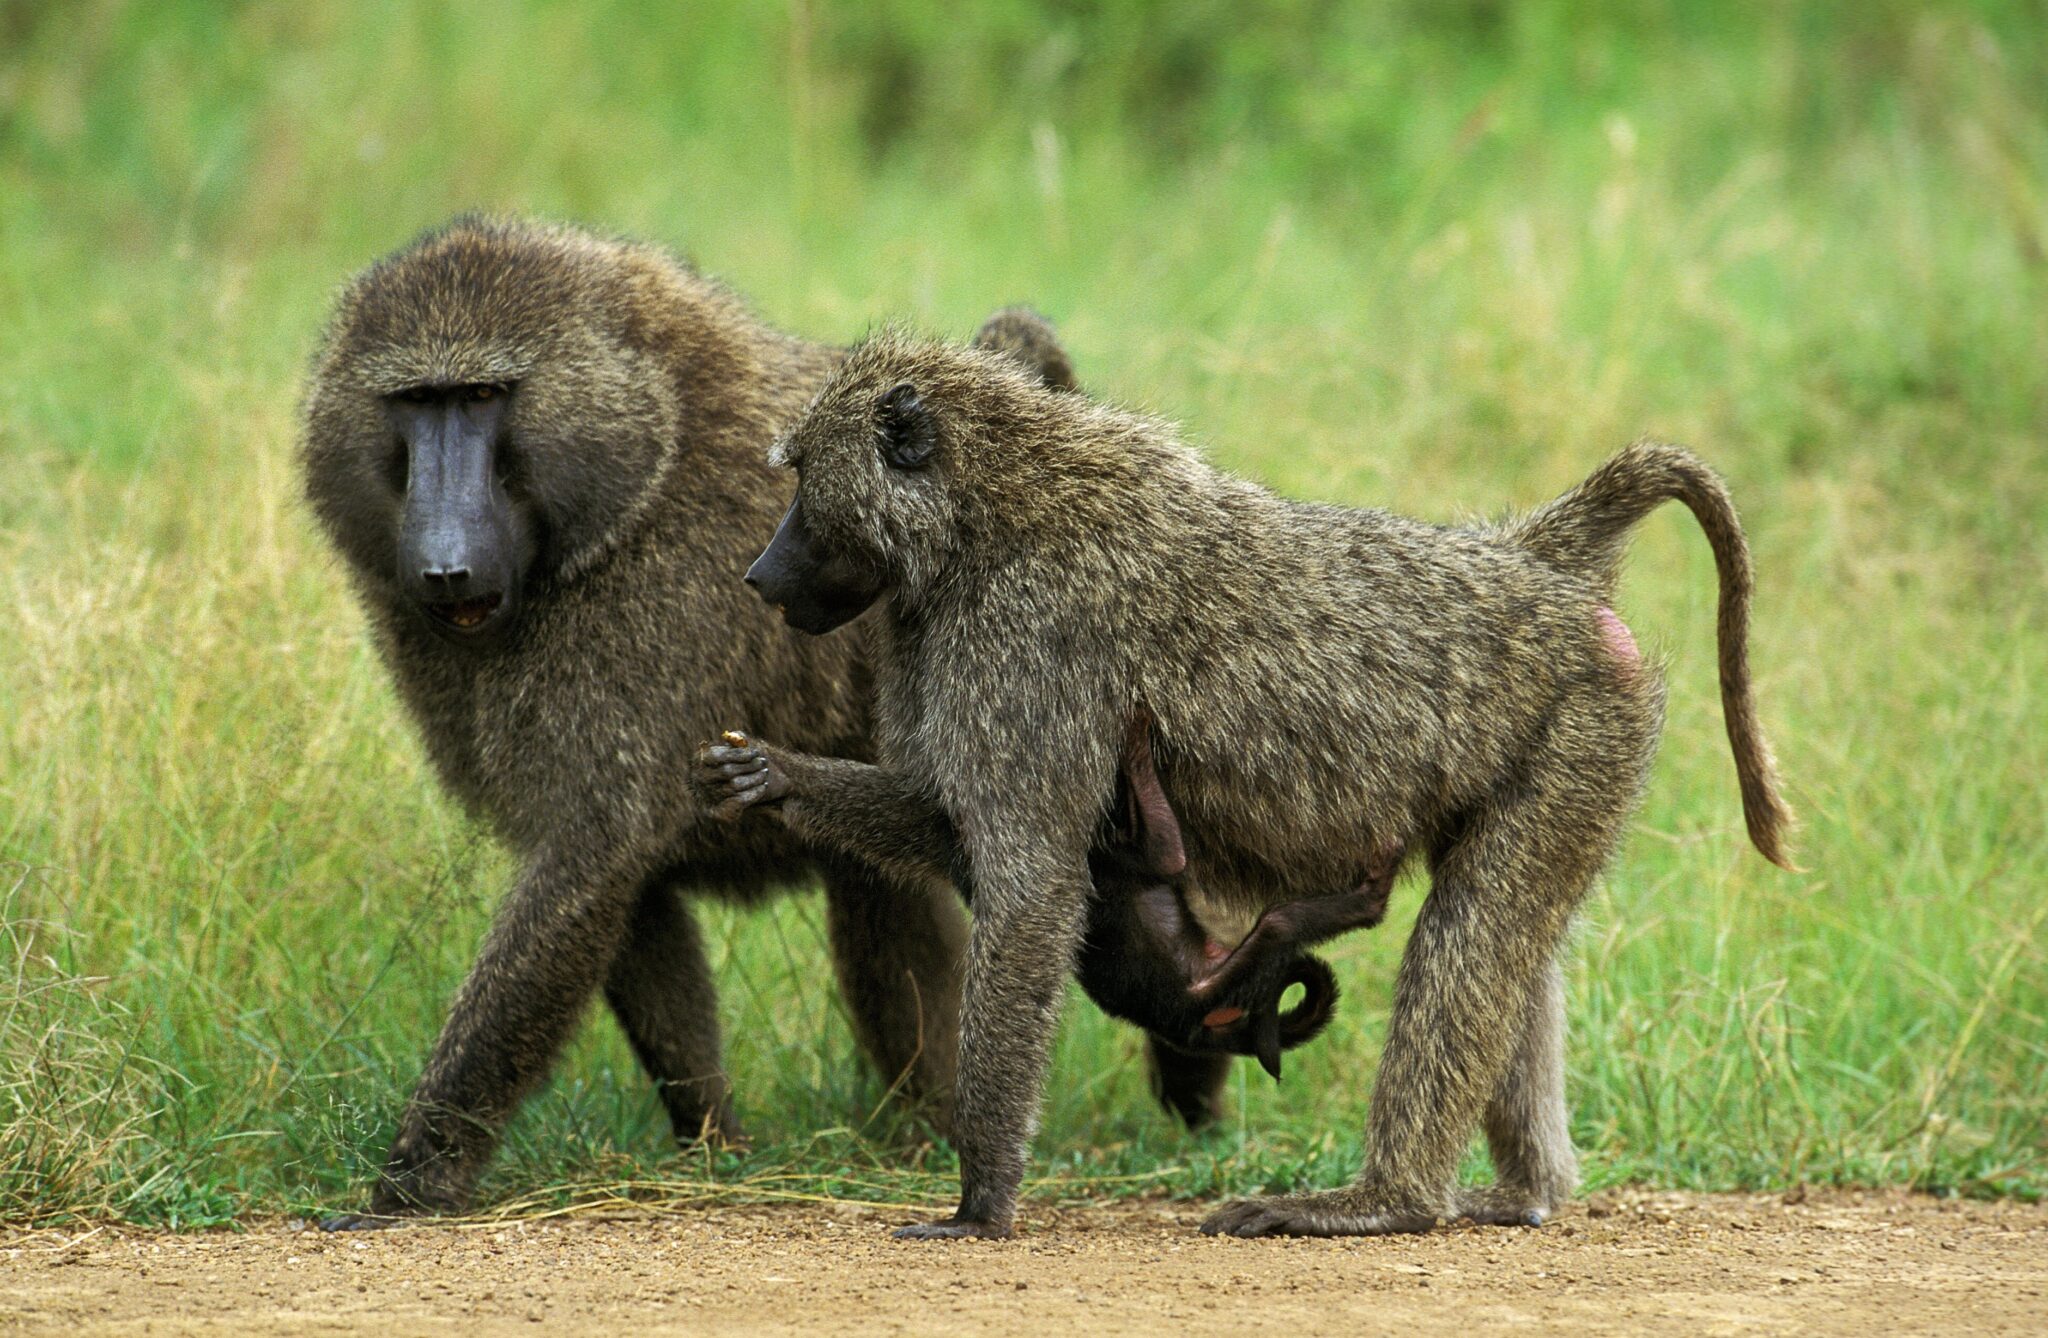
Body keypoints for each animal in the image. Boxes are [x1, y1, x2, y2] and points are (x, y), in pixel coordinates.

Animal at [298, 217, 1091, 1227]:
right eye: (415, 402)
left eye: (481, 396)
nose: (444, 567)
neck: (650, 456)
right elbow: (628, 895)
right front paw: (717, 1149)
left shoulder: (651, 610)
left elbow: (588, 860)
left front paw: (409, 1182)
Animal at [707, 330, 1793, 1239]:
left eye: (800, 477)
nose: (758, 576)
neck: (990, 512)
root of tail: (1536, 566)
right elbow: (944, 823)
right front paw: (768, 774)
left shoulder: (1023, 642)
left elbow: (1030, 888)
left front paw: (979, 1204)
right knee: (1508, 942)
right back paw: (1522, 1193)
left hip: (1581, 728)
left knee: (1468, 934)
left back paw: (1385, 1202)